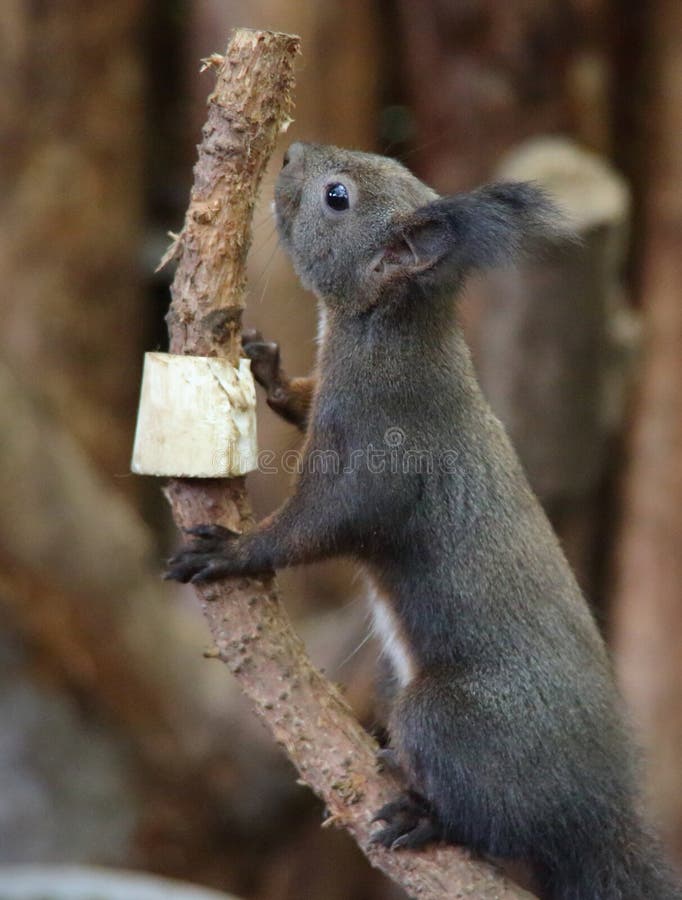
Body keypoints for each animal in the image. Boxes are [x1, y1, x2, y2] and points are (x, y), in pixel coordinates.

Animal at [167, 142, 682, 900]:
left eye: (338, 197)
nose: (289, 152)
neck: (393, 334)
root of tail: (598, 813)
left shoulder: (382, 453)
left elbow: (321, 524)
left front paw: (234, 550)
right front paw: (270, 369)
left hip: (446, 719)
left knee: (500, 826)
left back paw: (426, 819)